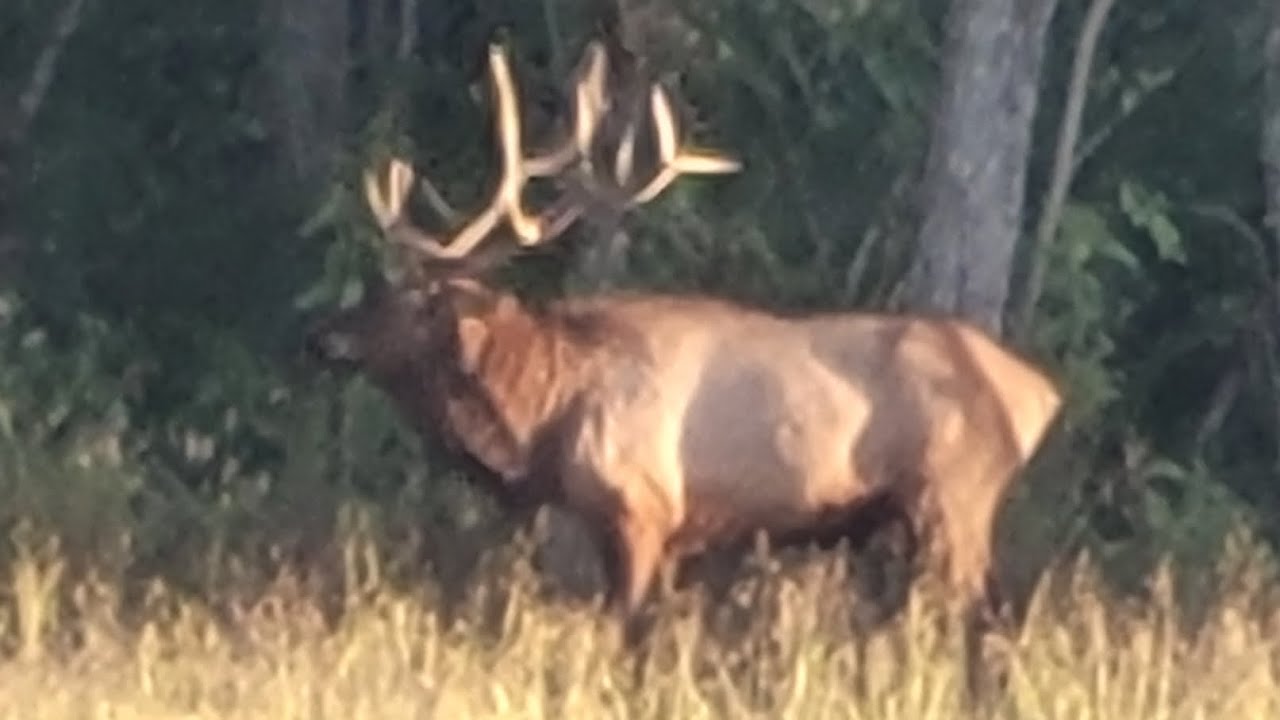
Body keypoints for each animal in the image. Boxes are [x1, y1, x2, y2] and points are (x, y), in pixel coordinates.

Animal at [304, 38, 1064, 699]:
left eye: (408, 297)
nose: (323, 337)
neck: (548, 415)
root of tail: (1041, 396)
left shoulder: (641, 509)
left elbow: (628, 637)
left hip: (954, 499)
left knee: (984, 622)